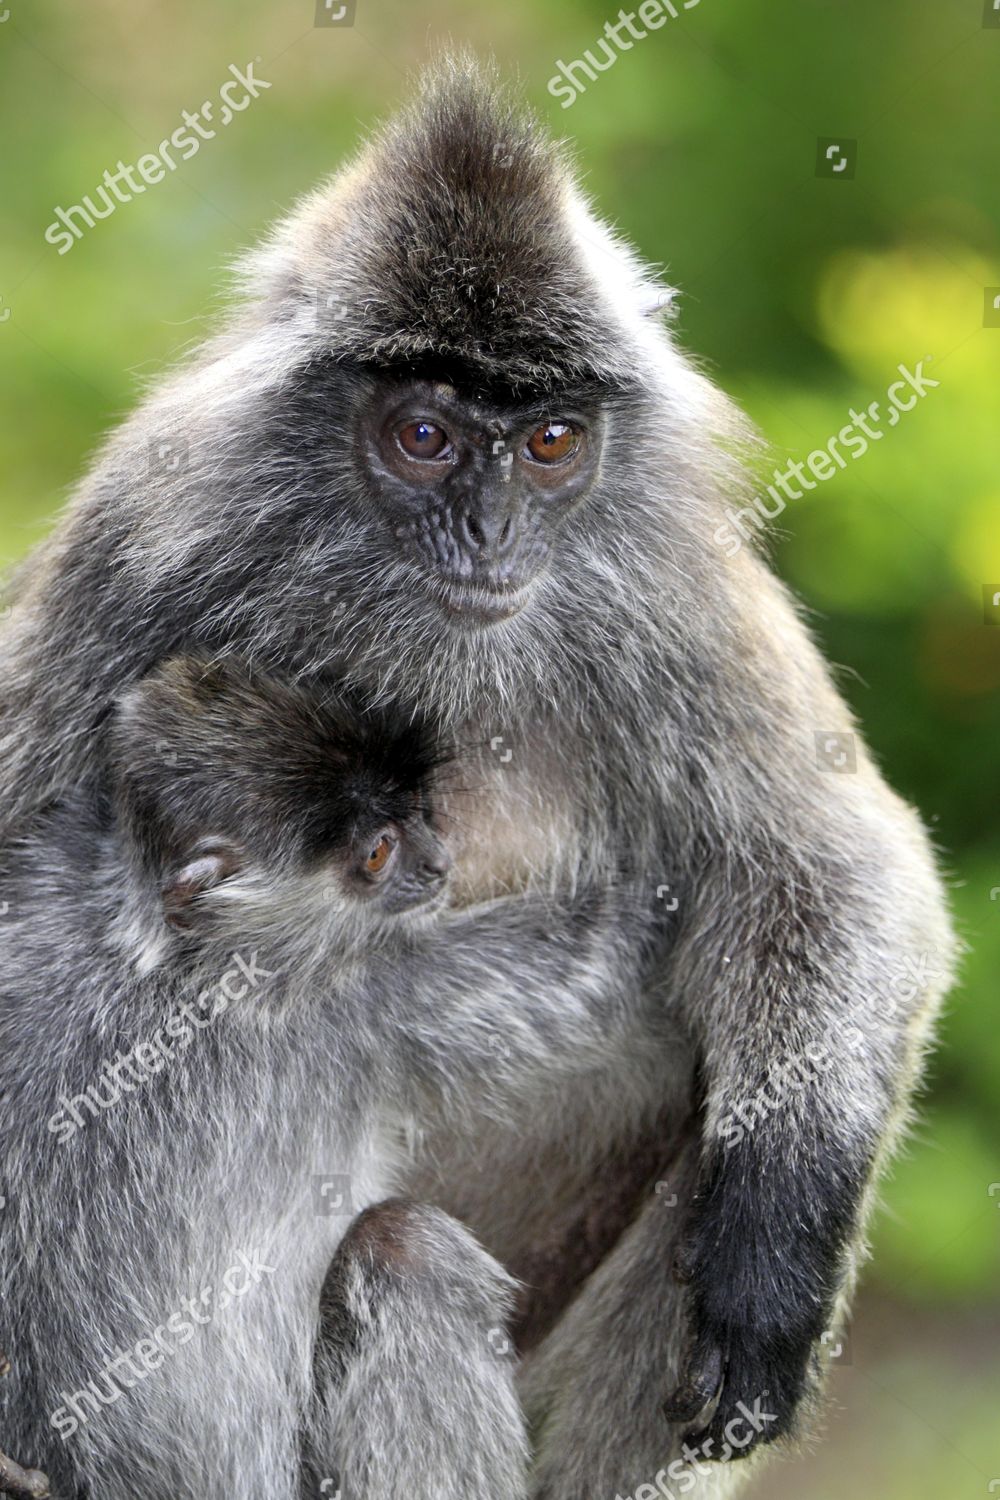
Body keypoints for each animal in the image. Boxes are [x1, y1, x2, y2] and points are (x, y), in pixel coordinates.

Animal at [0, 56, 954, 1500]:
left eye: (551, 442)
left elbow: (828, 855)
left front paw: (769, 1256)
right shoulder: (151, 529)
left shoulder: (671, 577)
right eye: (424, 436)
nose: (491, 534)